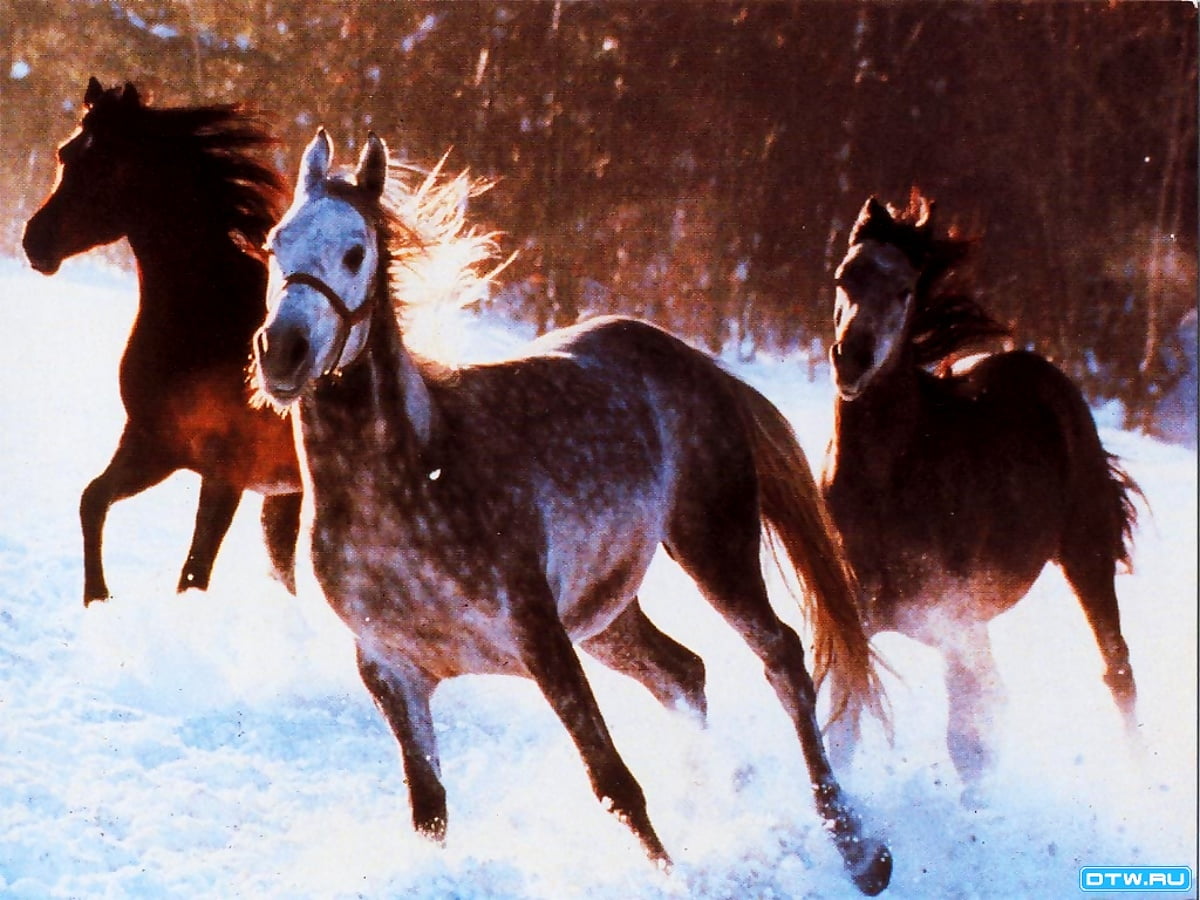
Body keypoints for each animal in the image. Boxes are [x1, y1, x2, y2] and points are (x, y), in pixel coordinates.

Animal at [22, 78, 302, 604]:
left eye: (108, 163)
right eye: (67, 153)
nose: (35, 242)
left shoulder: (226, 475)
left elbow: (193, 574)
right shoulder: (153, 446)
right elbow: (93, 500)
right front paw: (98, 598)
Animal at [250, 128, 893, 895]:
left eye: (355, 251)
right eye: (275, 243)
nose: (281, 352)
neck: (408, 484)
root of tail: (697, 363)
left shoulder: (540, 637)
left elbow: (615, 784)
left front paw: (672, 877)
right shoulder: (390, 670)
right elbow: (429, 809)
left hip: (711, 546)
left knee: (782, 659)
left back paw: (858, 850)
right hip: (606, 614)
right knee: (684, 673)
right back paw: (722, 801)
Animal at [821, 192, 1142, 789]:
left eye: (905, 289)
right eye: (843, 276)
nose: (852, 358)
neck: (885, 480)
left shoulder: (953, 616)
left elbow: (966, 742)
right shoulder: (854, 612)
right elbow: (843, 728)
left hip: (1084, 557)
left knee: (1116, 669)